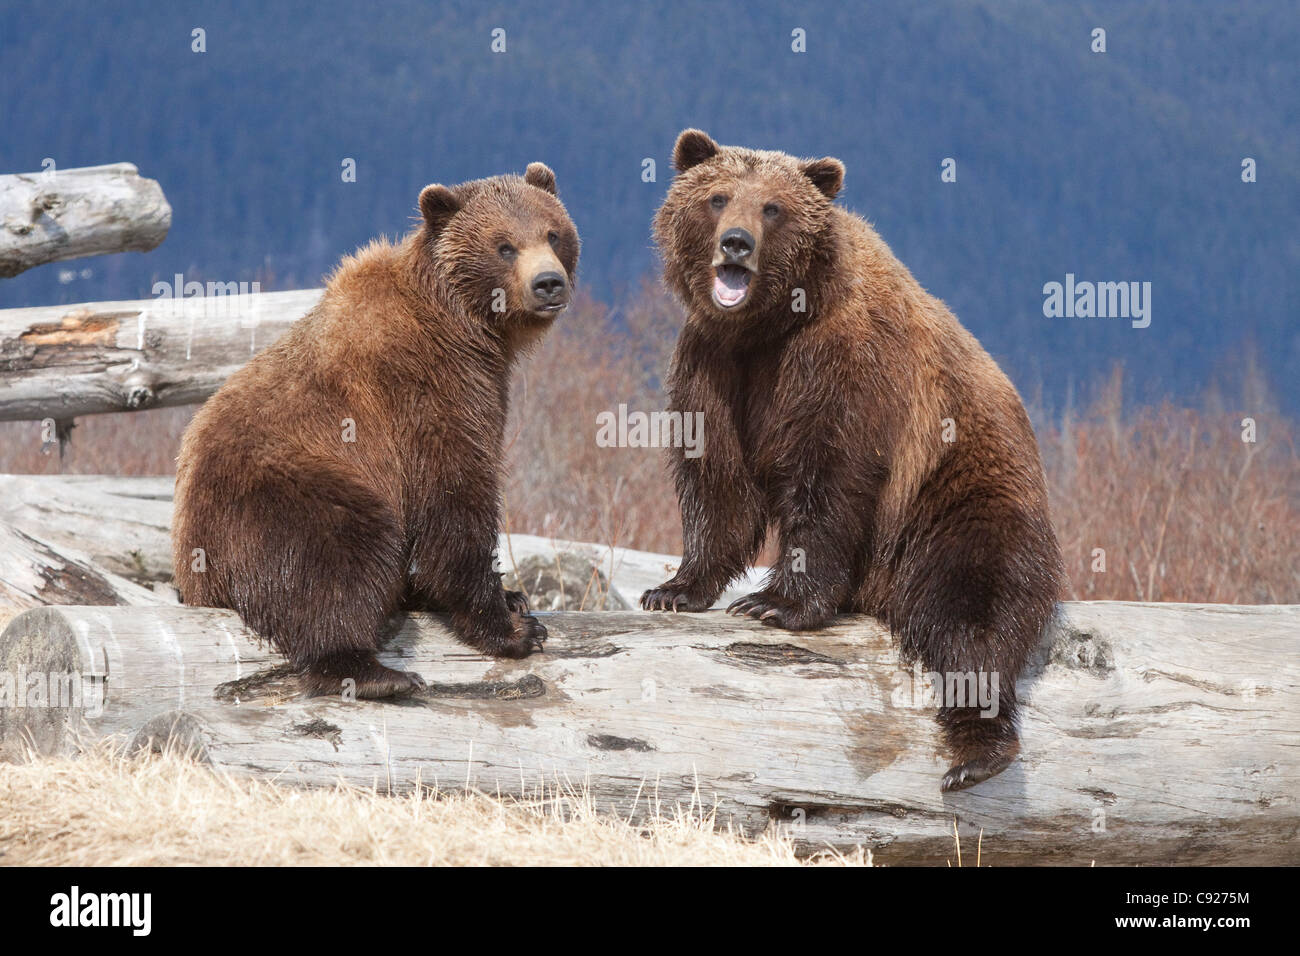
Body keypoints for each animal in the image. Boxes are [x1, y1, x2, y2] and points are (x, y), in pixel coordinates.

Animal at [173, 163, 579, 698]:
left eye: (553, 233)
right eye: (504, 245)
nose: (548, 282)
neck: (467, 326)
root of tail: (195, 578)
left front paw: (512, 597)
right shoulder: (428, 390)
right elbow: (453, 498)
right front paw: (514, 628)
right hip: (276, 495)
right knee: (335, 557)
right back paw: (373, 672)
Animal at [640, 130, 1062, 791]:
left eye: (772, 208)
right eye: (717, 197)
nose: (735, 243)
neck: (771, 326)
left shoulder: (843, 364)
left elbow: (829, 478)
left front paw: (775, 602)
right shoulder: (714, 363)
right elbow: (718, 482)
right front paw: (675, 589)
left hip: (962, 499)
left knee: (972, 614)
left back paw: (977, 754)